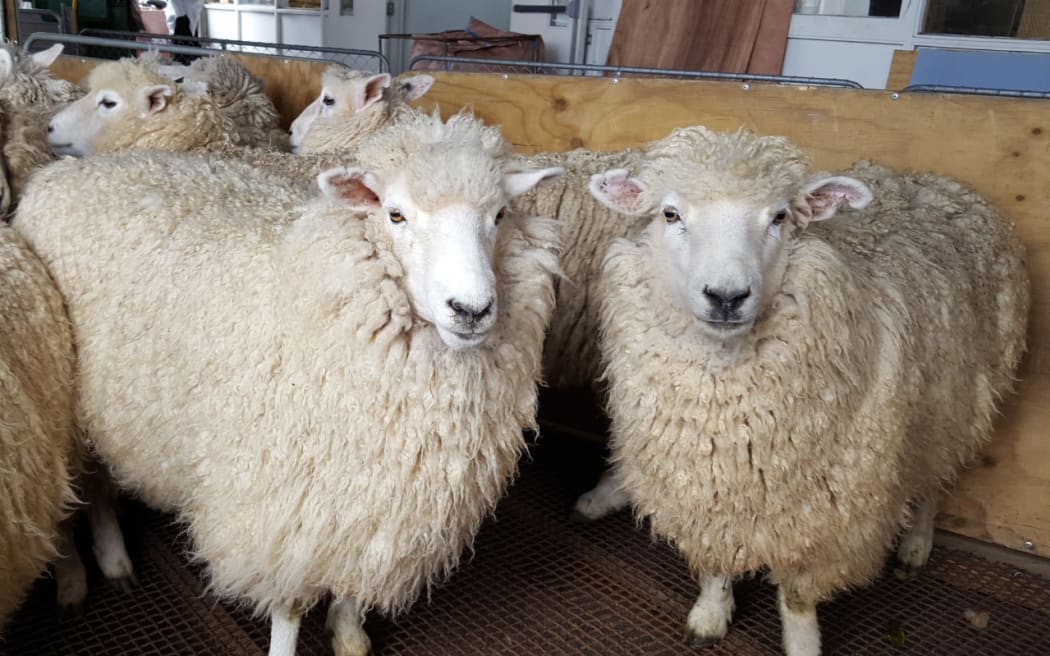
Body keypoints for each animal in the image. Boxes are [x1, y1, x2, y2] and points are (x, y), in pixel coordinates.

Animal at [15, 110, 563, 656]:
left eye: (499, 215)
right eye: (395, 215)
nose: (470, 310)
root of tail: (62, 172)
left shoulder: (373, 500)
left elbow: (352, 585)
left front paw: (349, 634)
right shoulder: (283, 505)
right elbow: (288, 610)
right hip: (64, 406)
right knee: (71, 499)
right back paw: (84, 573)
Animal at [574, 126, 1029, 655]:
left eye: (780, 216)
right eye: (670, 214)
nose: (727, 297)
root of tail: (939, 180)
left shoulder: (822, 513)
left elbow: (796, 598)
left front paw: (802, 643)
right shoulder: (708, 487)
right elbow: (716, 562)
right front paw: (711, 612)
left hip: (958, 400)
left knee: (936, 478)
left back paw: (915, 544)